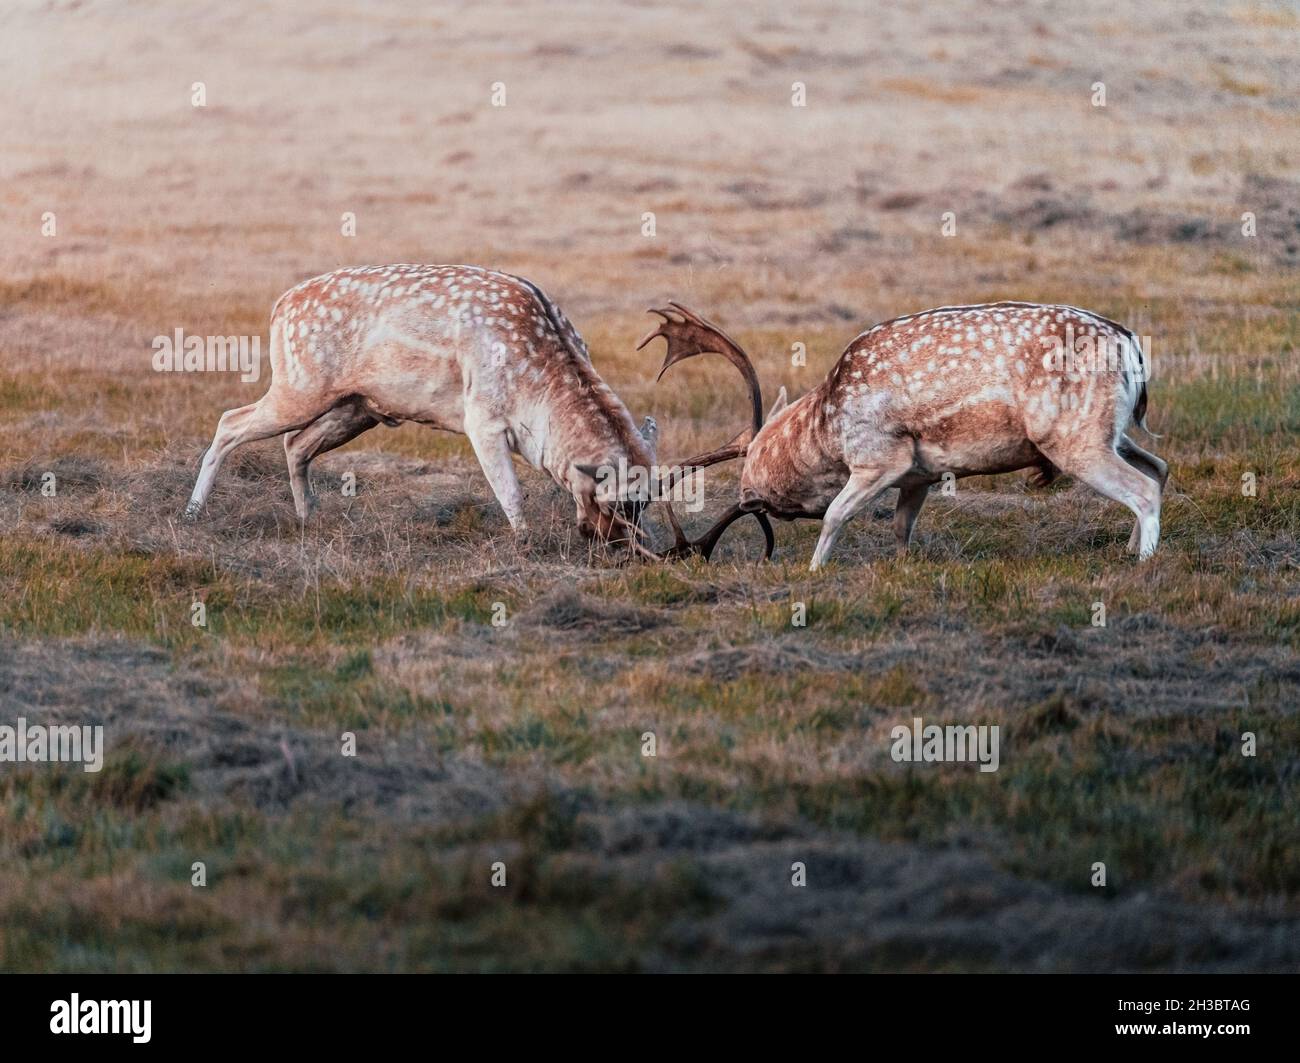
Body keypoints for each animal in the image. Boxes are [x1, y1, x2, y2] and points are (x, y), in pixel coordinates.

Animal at [185, 264, 742, 556]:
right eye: (614, 503)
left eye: (644, 503)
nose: (612, 544)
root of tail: (278, 307)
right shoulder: (482, 419)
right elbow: (511, 494)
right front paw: (525, 547)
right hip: (299, 385)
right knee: (230, 421)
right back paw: (192, 514)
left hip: (356, 405)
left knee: (295, 443)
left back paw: (308, 520)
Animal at [641, 301, 1167, 571]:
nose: (748, 495)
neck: (827, 429)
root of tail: (1130, 344)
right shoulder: (920, 474)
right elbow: (900, 525)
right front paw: (903, 565)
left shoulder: (880, 456)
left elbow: (834, 515)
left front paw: (813, 571)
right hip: (1110, 433)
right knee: (1159, 467)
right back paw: (1128, 548)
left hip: (1073, 438)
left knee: (1143, 488)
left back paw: (1144, 562)